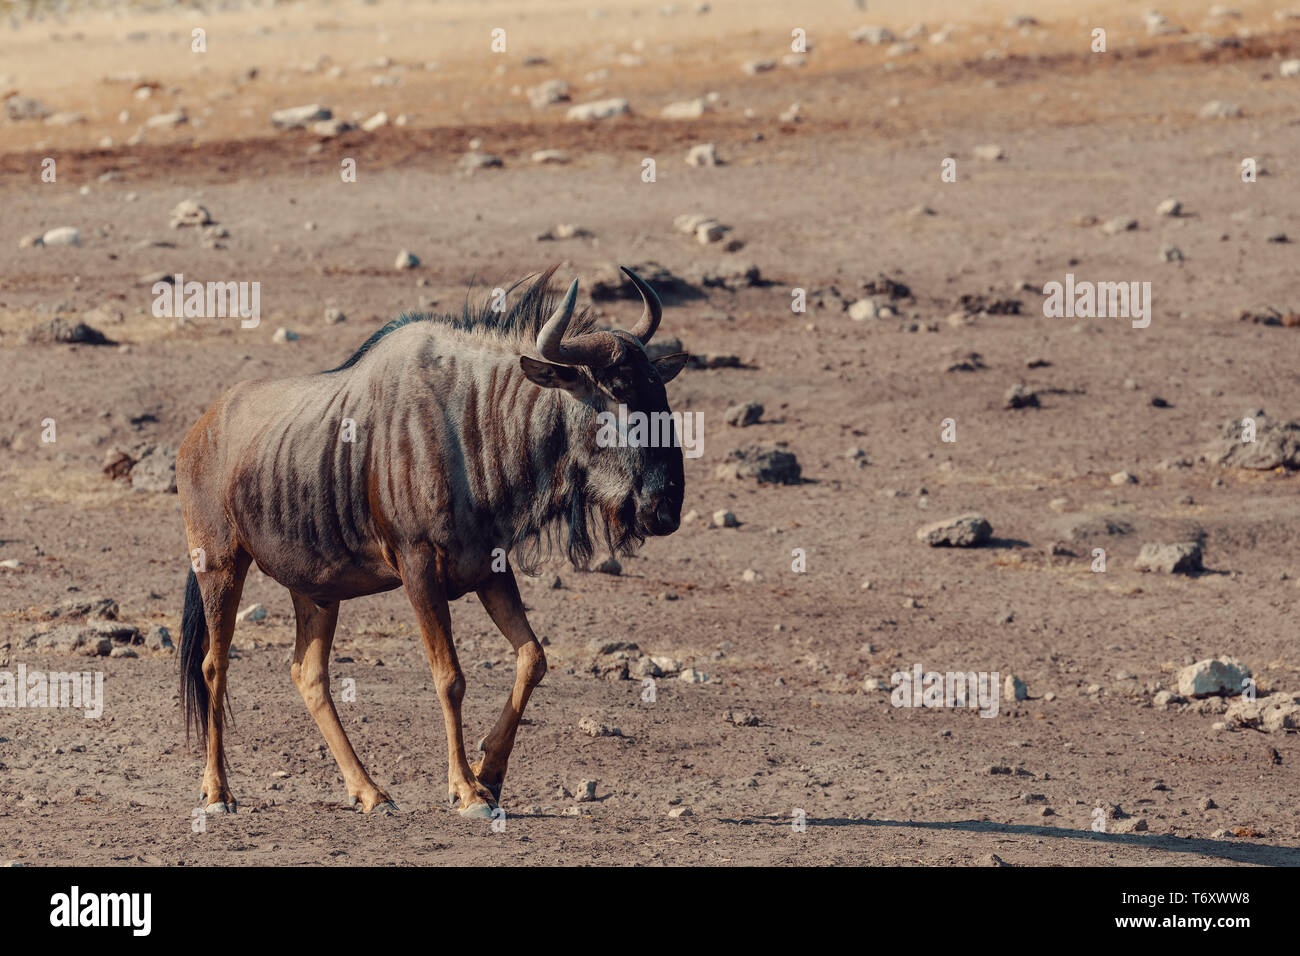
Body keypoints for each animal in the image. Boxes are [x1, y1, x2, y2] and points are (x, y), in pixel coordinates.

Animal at [177, 267, 686, 817]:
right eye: (615, 398)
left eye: (661, 397)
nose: (666, 510)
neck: (473, 425)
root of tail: (198, 431)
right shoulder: (418, 566)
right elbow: (450, 678)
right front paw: (466, 790)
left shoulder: (490, 567)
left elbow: (533, 658)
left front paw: (491, 773)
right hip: (221, 564)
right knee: (214, 664)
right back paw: (217, 792)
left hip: (314, 592)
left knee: (308, 675)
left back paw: (370, 792)